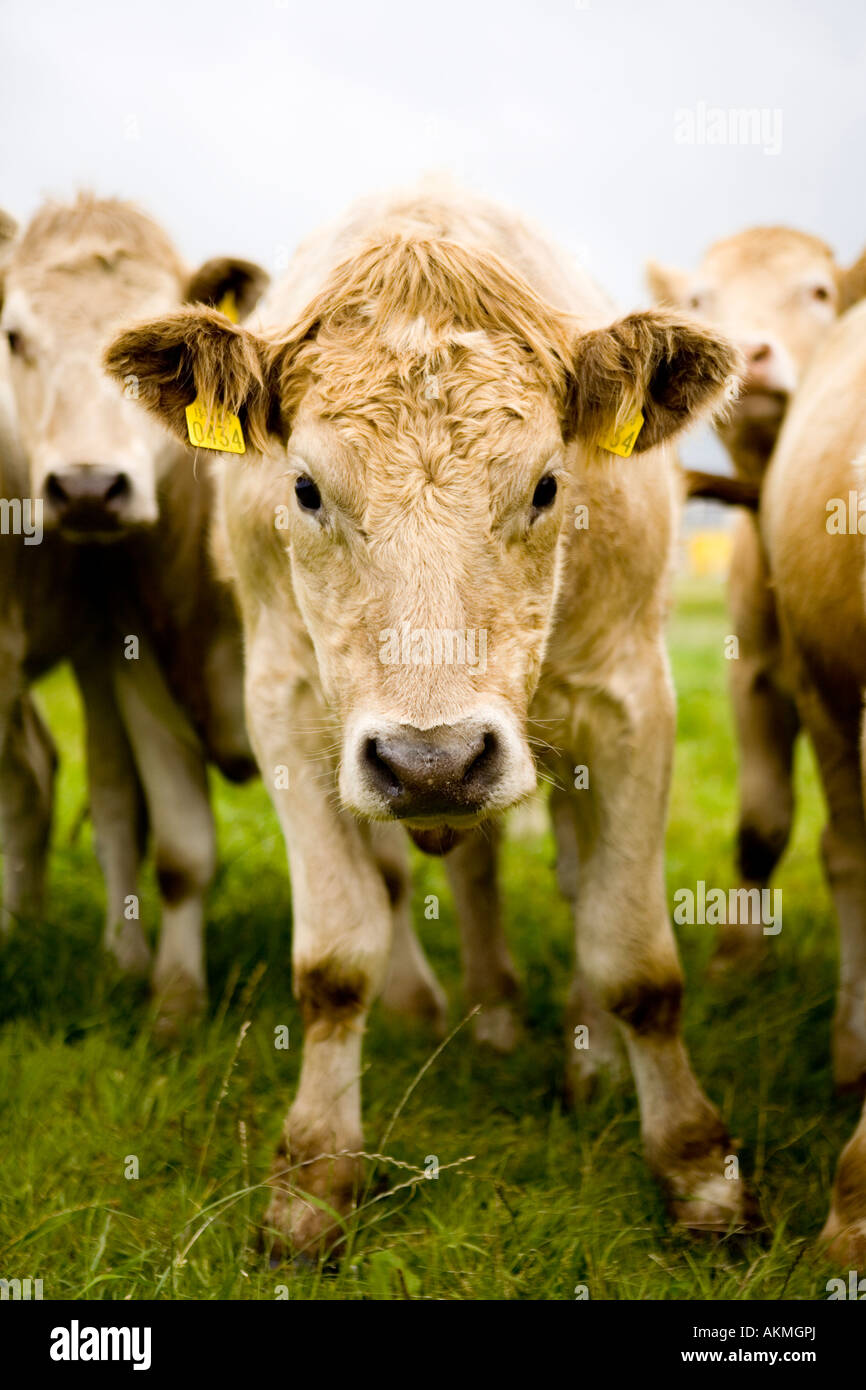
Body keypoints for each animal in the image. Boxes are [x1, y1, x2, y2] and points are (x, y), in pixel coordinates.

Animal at [106, 182, 749, 1260]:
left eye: (545, 485)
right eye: (306, 488)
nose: (430, 761)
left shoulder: (631, 702)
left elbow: (634, 959)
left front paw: (697, 1169)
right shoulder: (285, 709)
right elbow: (334, 962)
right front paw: (312, 1181)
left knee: (577, 885)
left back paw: (585, 1062)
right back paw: (492, 1017)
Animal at [648, 228, 864, 966]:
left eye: (819, 291)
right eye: (699, 301)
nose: (750, 349)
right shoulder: (753, 675)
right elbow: (762, 822)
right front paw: (738, 954)